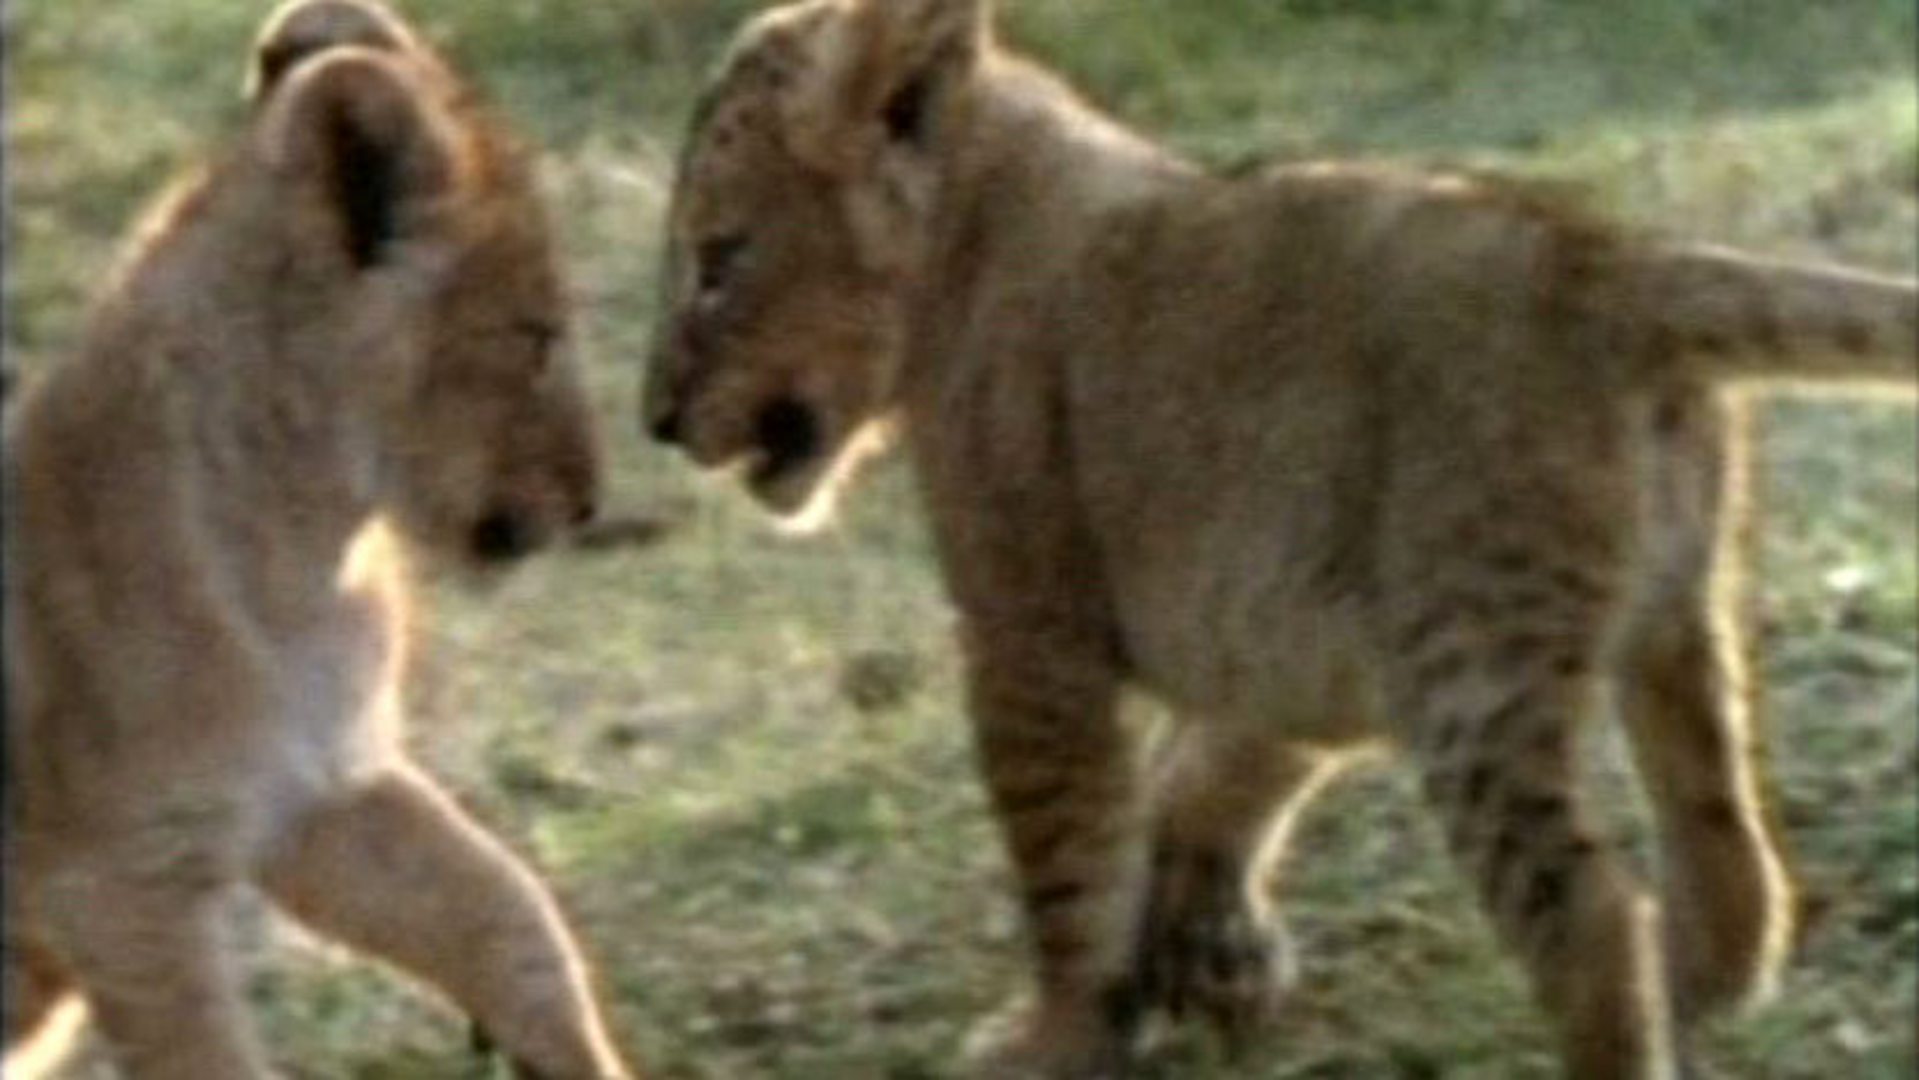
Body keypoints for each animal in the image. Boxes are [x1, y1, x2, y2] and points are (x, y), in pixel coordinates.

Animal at [3, 3, 633, 1077]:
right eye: (536, 333)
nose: (589, 502)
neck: (309, 543)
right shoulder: (123, 883)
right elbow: (210, 1061)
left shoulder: (325, 789)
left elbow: (506, 910)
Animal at [640, 1, 1919, 1076]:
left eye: (717, 261)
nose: (653, 419)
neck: (979, 216)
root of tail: (1604, 264)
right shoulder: (1293, 625)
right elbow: (1206, 775)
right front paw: (1209, 960)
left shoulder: (1028, 633)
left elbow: (1065, 858)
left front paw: (1060, 1030)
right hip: (1664, 618)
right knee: (1728, 853)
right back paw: (1696, 989)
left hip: (1466, 667)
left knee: (1593, 918)